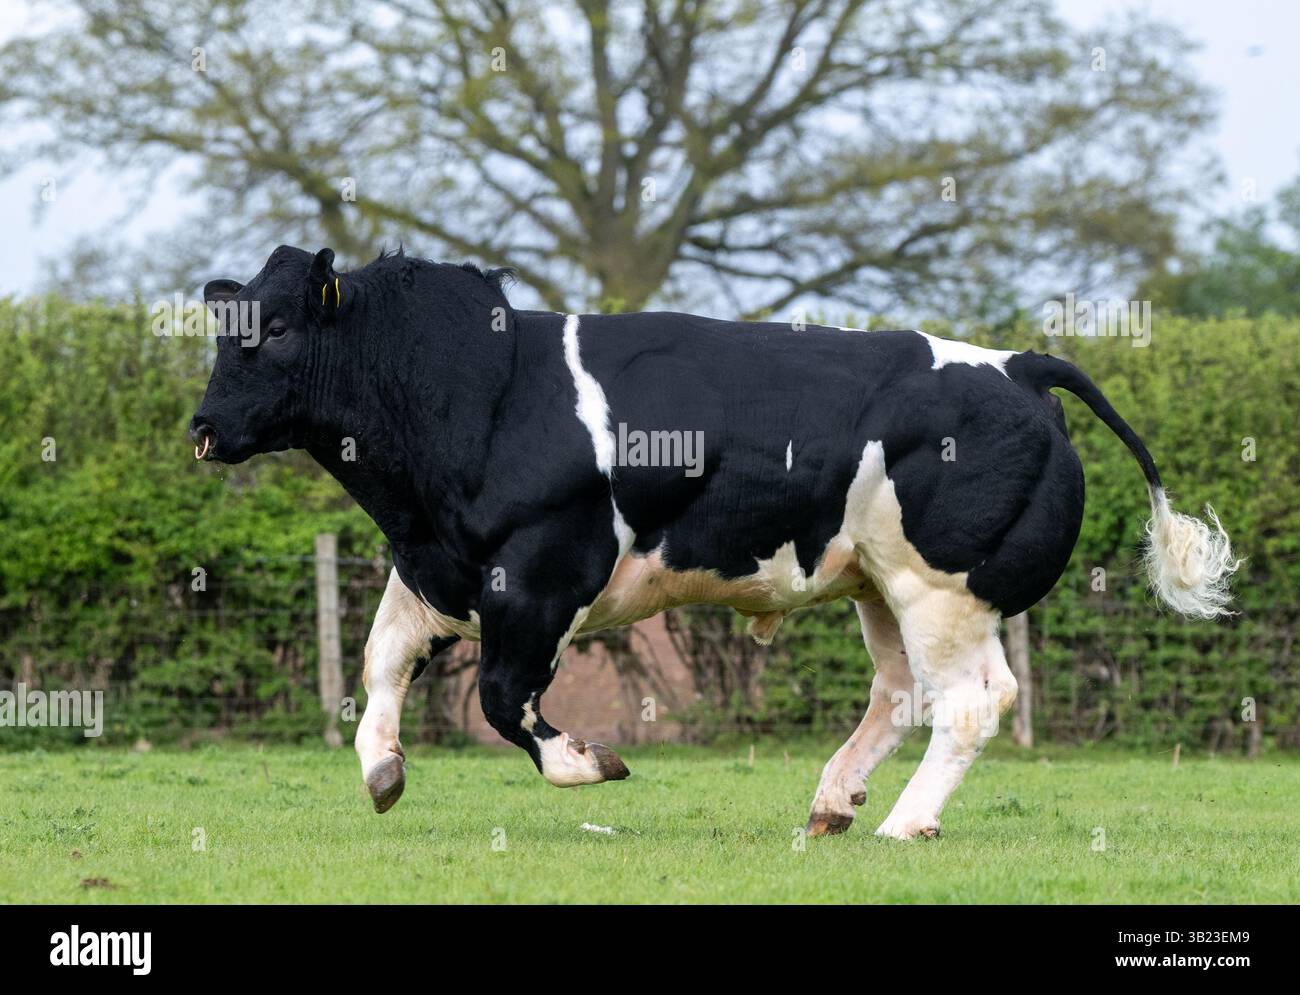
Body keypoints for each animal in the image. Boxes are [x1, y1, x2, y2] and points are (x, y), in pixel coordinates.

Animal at [191, 245, 1238, 839]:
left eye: (274, 329)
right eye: (224, 326)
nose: (201, 425)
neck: (479, 388)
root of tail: (1019, 364)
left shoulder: (539, 573)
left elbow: (500, 696)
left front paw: (589, 763)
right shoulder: (435, 566)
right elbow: (380, 662)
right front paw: (381, 769)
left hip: (940, 591)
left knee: (973, 703)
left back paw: (904, 824)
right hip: (877, 585)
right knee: (902, 695)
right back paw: (833, 803)